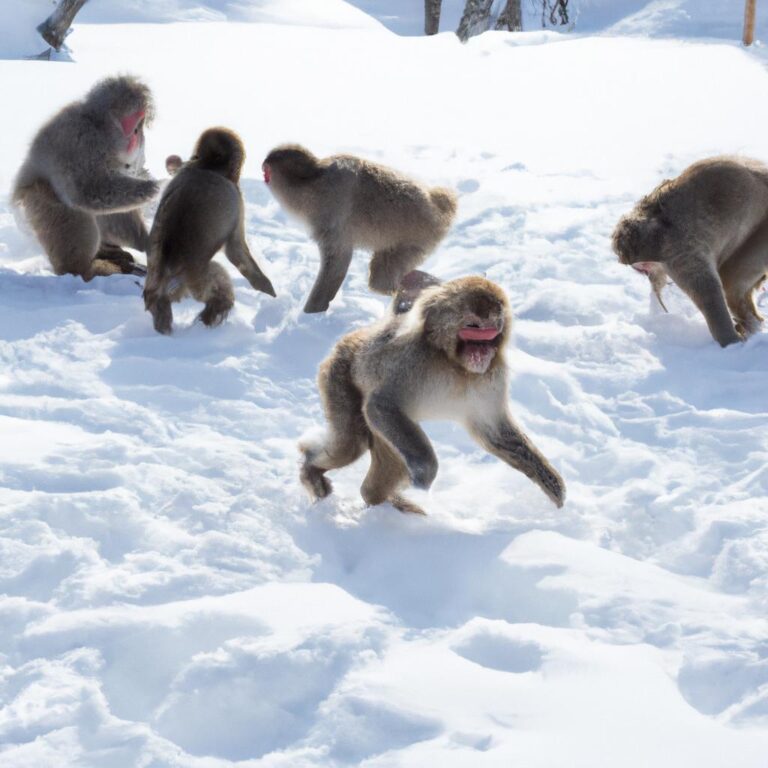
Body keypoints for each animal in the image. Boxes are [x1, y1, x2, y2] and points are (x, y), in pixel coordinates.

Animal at [12, 75, 159, 280]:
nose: (137, 135)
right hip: (39, 201)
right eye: (133, 123)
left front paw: (146, 241)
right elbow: (87, 190)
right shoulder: (78, 138)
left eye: (140, 124)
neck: (99, 128)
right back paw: (85, 269)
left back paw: (111, 253)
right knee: (75, 215)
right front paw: (156, 187)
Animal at [143, 127, 276, 335]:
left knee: (157, 303)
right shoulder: (236, 236)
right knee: (221, 298)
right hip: (213, 274)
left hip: (159, 286)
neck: (210, 166)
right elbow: (253, 271)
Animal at [262, 144, 458, 313]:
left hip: (418, 238)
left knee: (382, 272)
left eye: (267, 170)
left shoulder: (328, 207)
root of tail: (437, 205)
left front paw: (313, 311)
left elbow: (339, 257)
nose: (263, 173)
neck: (312, 180)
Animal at [299, 271, 566, 515]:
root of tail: (349, 338)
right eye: (473, 328)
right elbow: (380, 404)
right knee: (350, 445)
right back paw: (312, 471)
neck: (456, 365)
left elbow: (495, 432)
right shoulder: (413, 360)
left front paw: (551, 483)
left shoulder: (492, 378)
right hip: (339, 375)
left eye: (490, 332)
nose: (481, 352)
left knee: (382, 464)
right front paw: (423, 474)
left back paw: (379, 498)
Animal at [612, 156, 768, 346]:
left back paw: (749, 329)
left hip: (761, 235)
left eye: (641, 267)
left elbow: (707, 290)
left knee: (732, 281)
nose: (643, 271)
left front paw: (730, 341)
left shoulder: (677, 253)